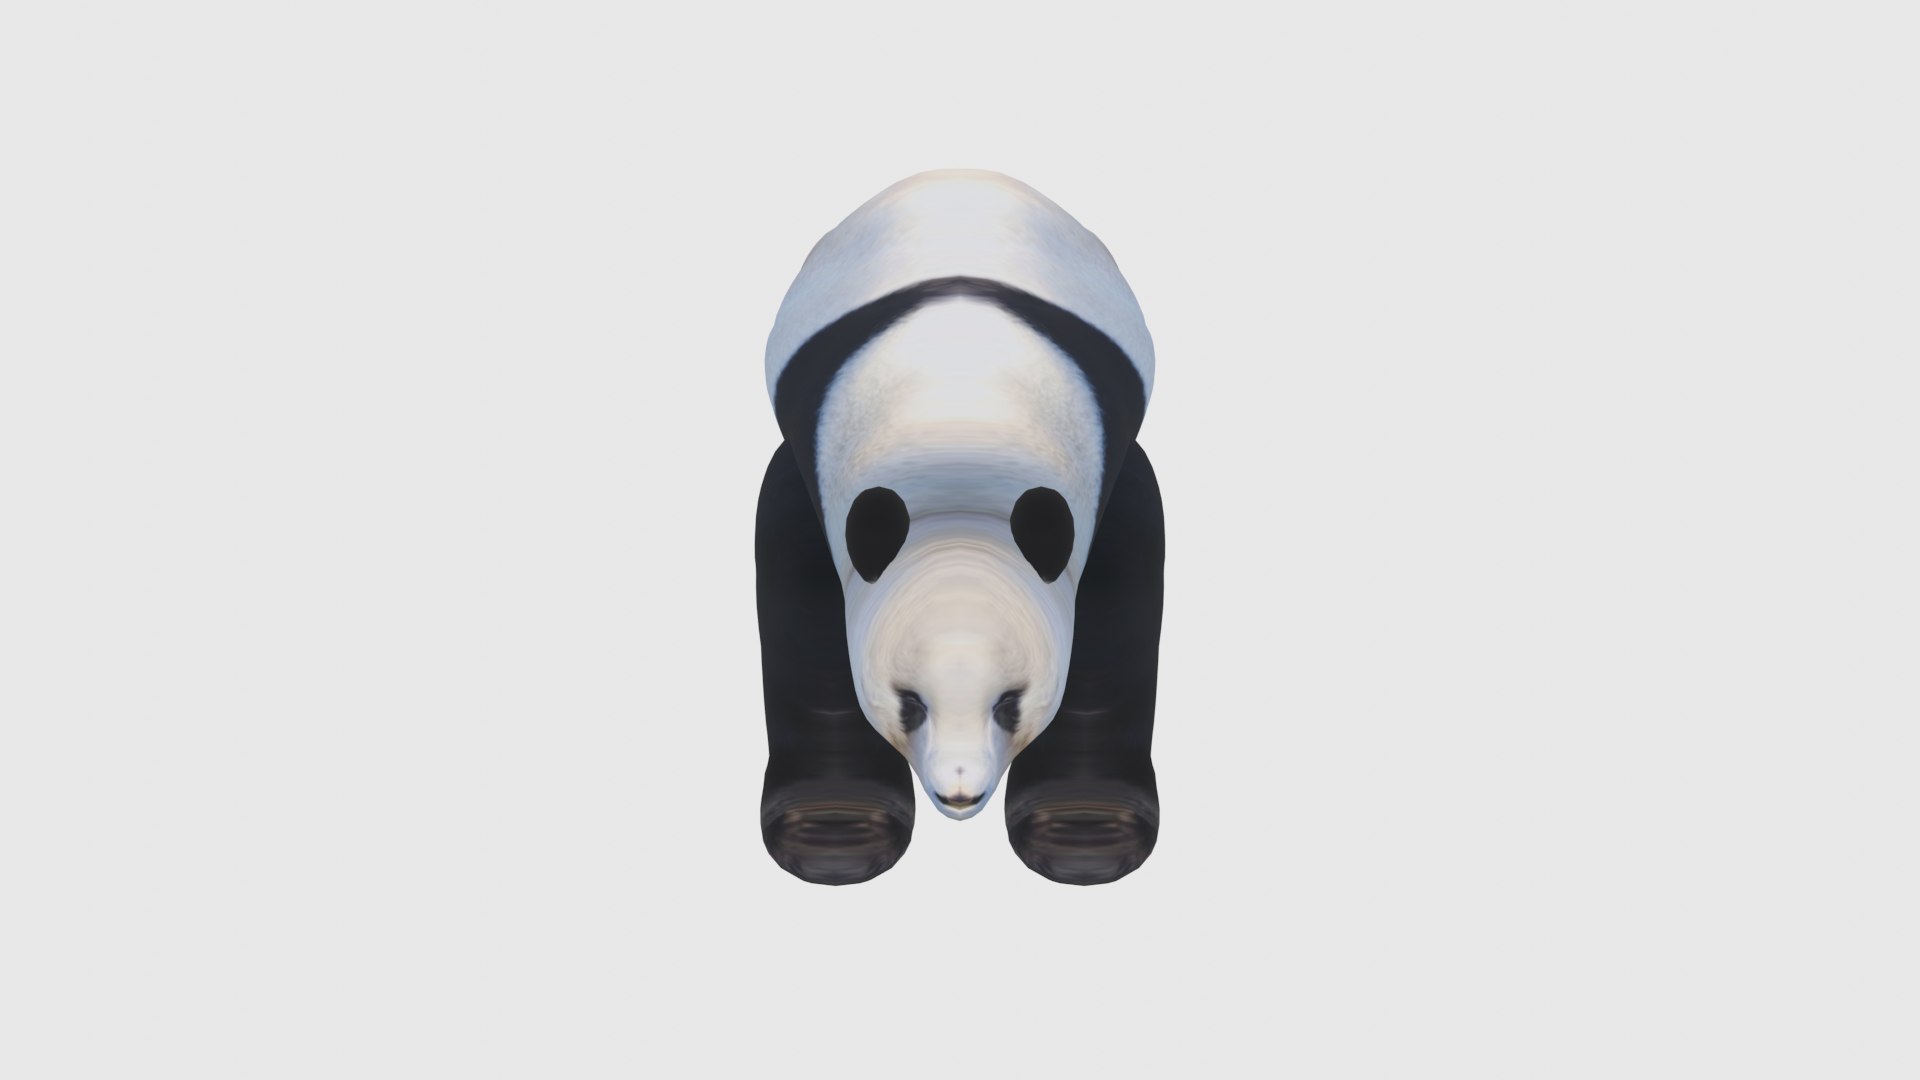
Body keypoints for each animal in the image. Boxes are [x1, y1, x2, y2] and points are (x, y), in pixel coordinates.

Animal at [755, 170, 1166, 885]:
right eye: (910, 702)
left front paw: (1084, 834)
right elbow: (803, 623)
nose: (959, 792)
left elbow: (1116, 624)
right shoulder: (812, 472)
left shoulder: (1107, 472)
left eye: (1009, 702)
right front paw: (835, 834)